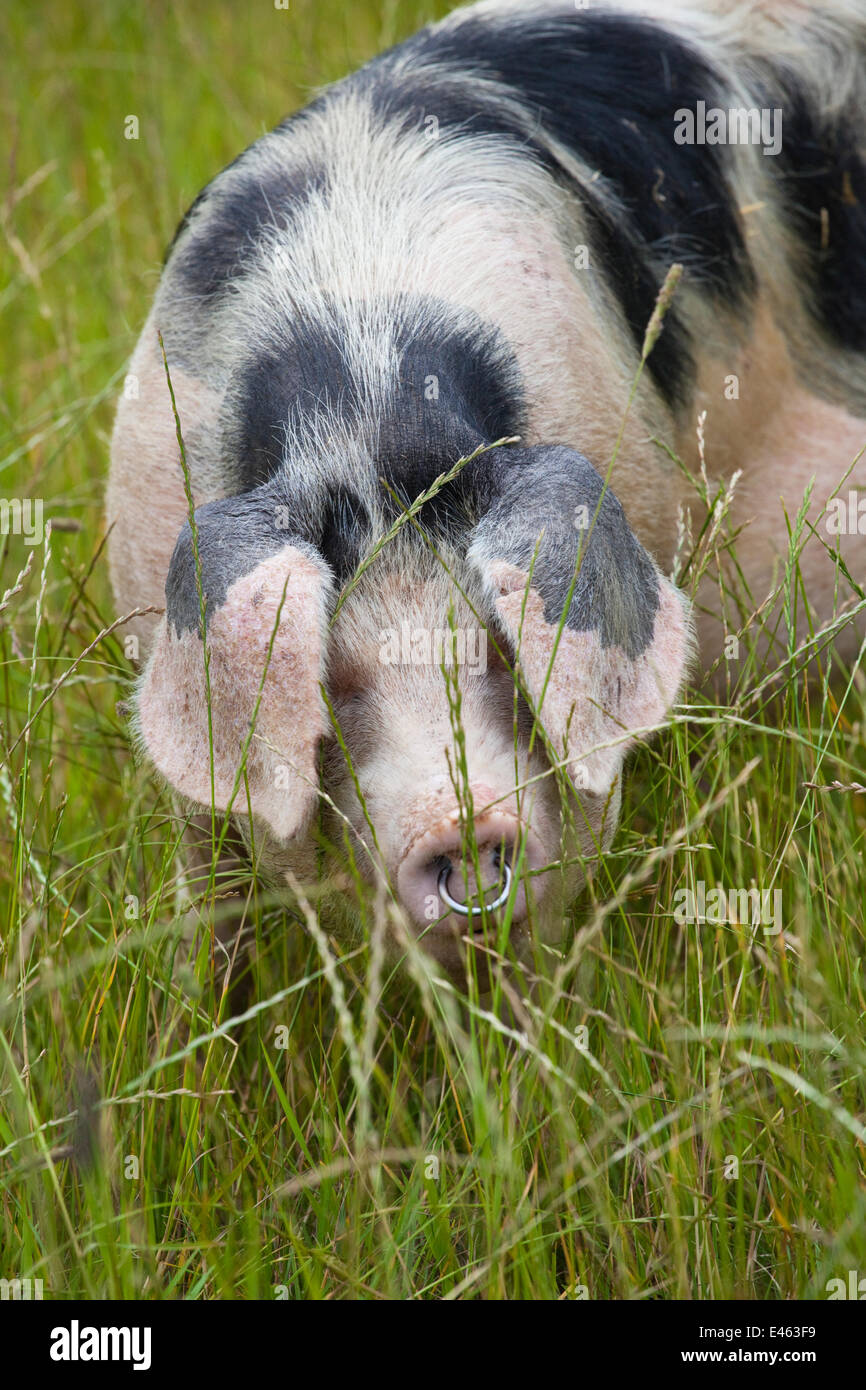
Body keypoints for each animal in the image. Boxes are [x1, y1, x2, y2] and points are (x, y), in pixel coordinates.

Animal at [107, 0, 866, 987]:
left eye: (504, 656)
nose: (462, 826)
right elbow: (208, 878)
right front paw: (199, 1007)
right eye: (331, 685)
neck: (370, 404)